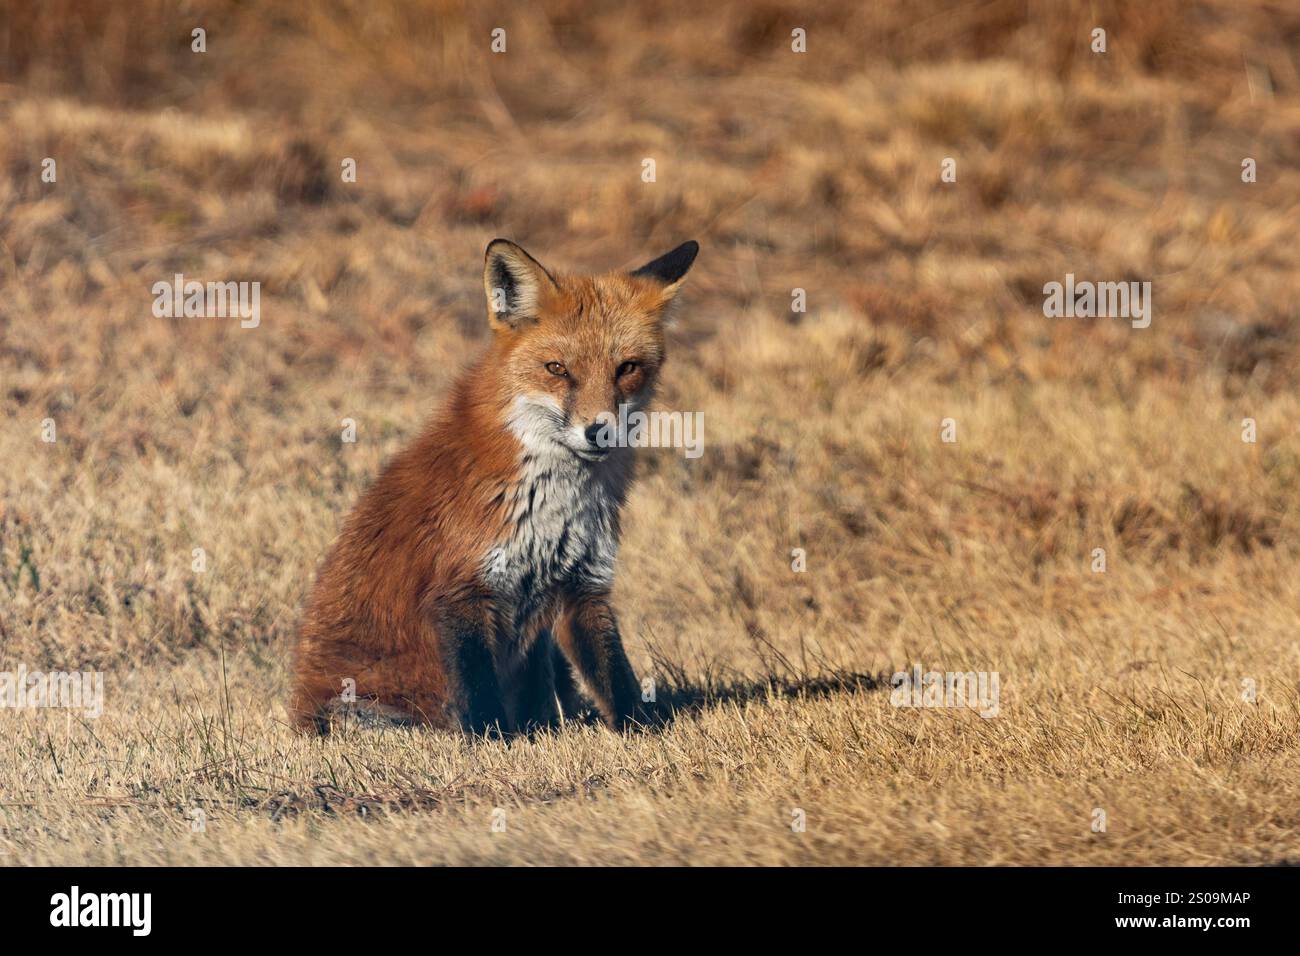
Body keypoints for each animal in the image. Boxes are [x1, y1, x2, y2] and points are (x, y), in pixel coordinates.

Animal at [290, 237, 700, 734]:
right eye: (557, 368)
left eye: (627, 368)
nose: (599, 431)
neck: (555, 503)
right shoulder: (461, 590)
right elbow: (482, 698)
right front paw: (494, 742)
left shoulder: (583, 586)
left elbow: (616, 679)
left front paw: (642, 732)